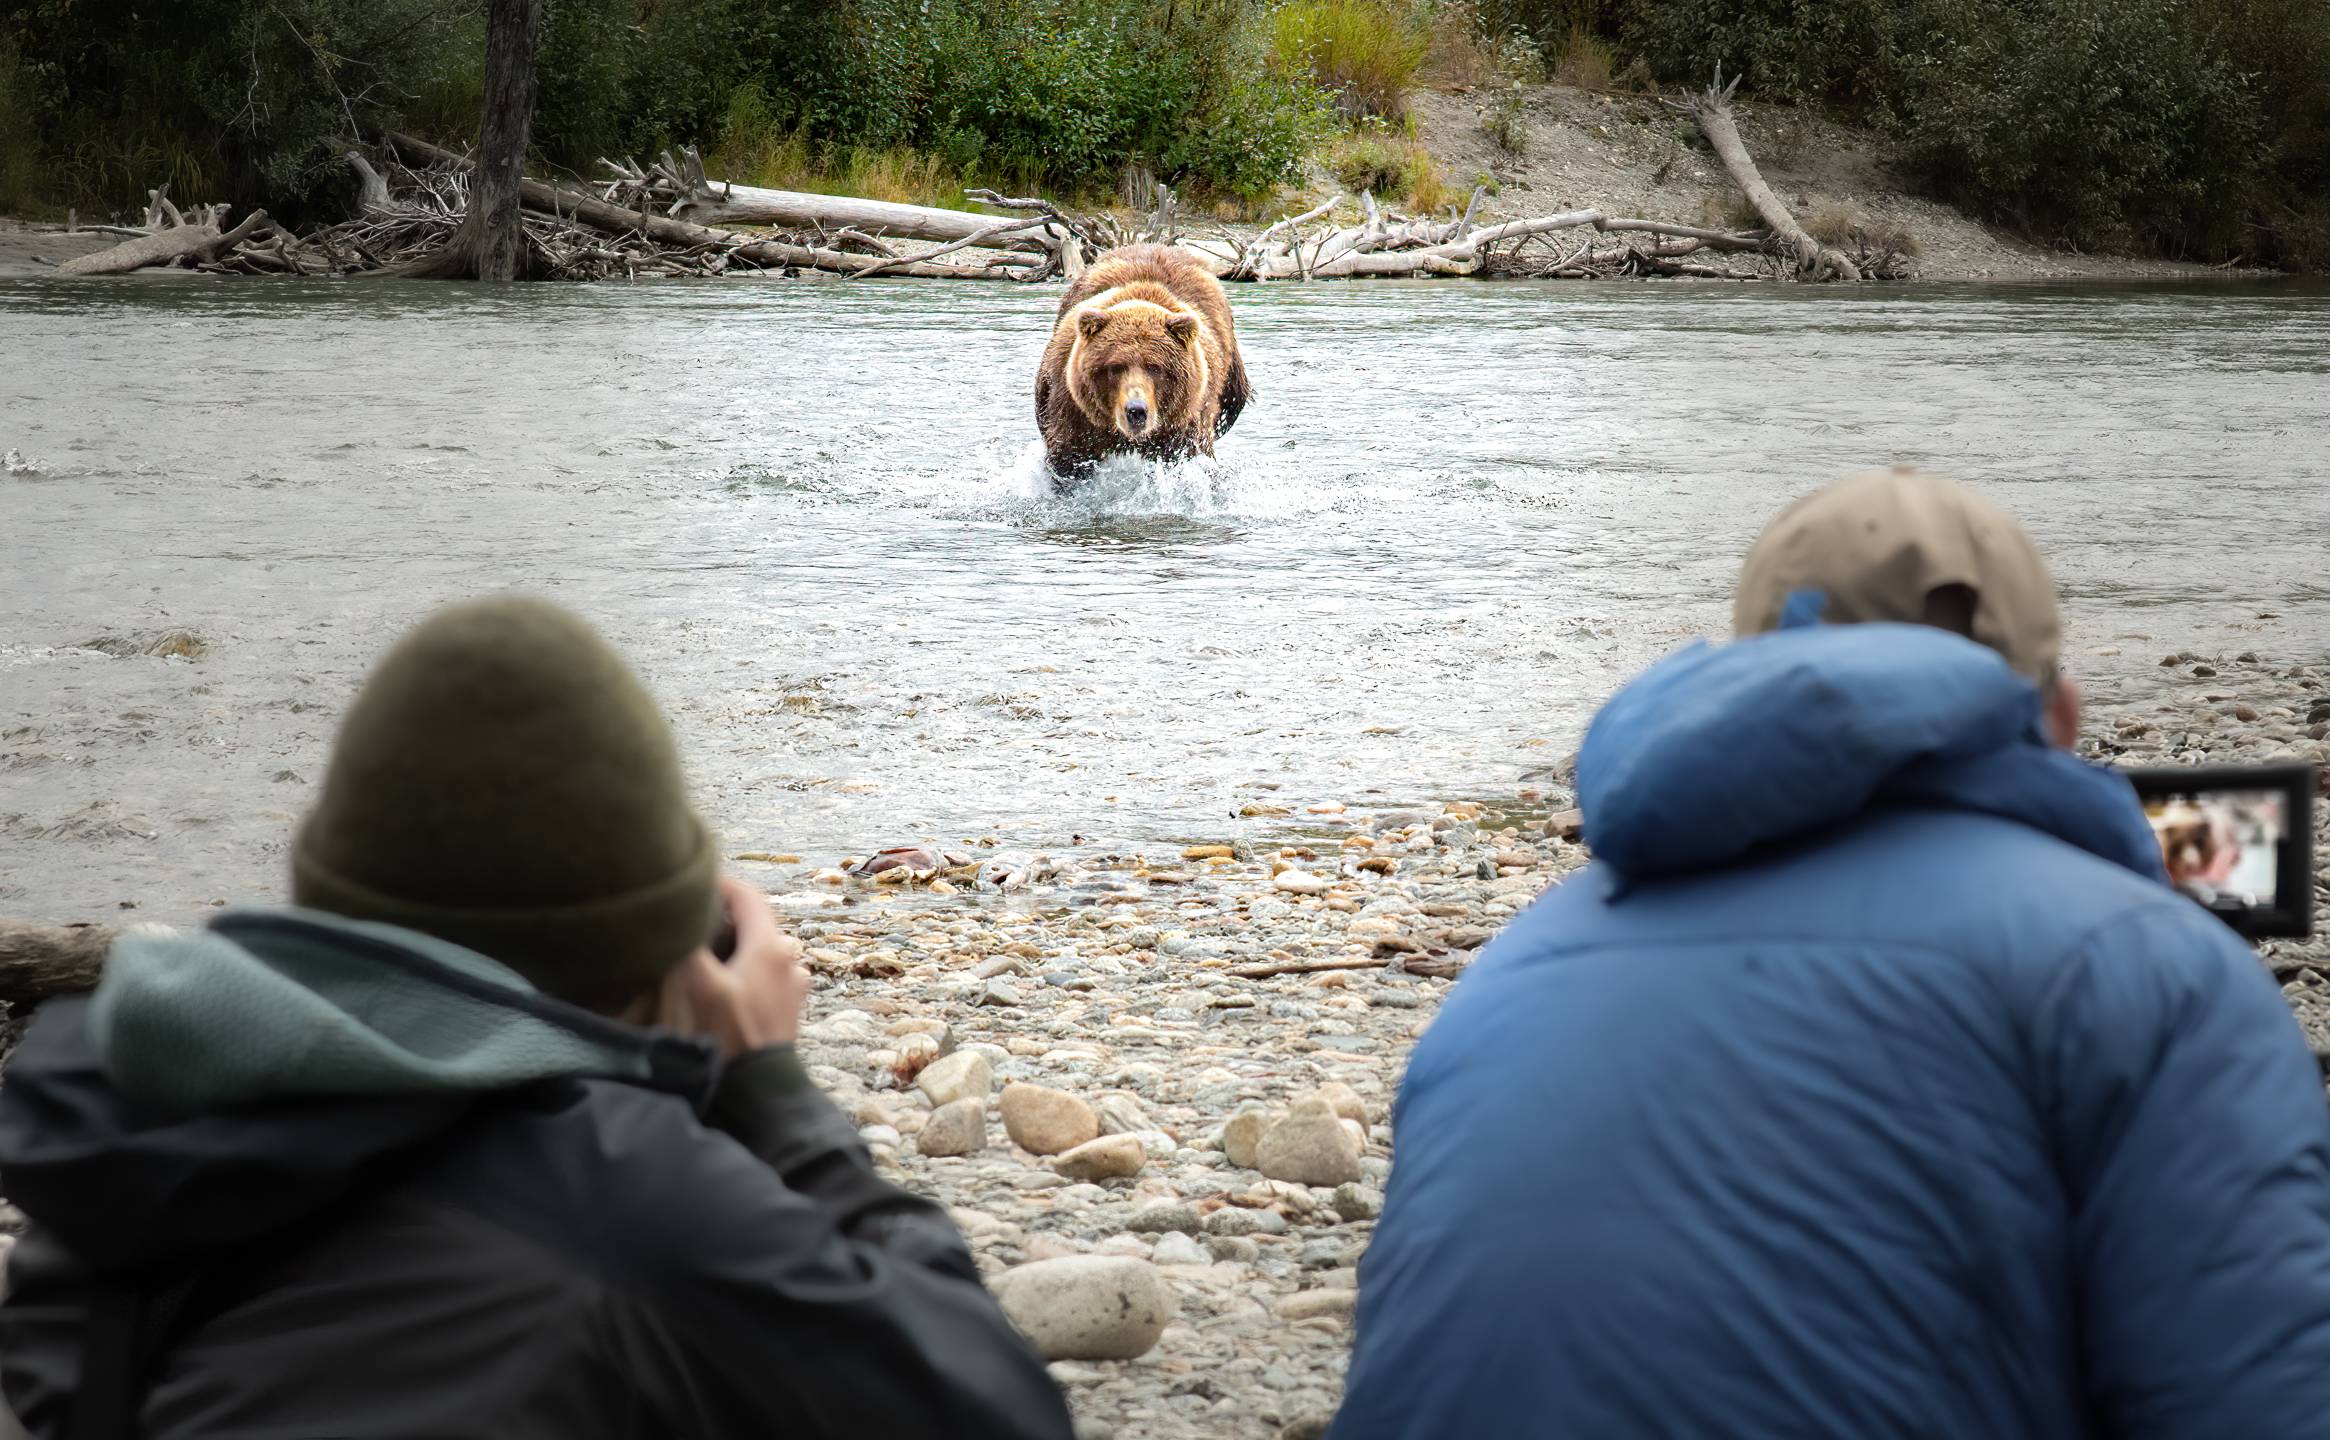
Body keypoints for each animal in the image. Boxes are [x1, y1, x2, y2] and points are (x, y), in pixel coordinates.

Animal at [1035, 244, 1251, 480]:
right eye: (1115, 367)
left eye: (1155, 367)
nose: (1136, 410)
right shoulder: (1076, 416)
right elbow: (1068, 460)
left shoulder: (1183, 425)